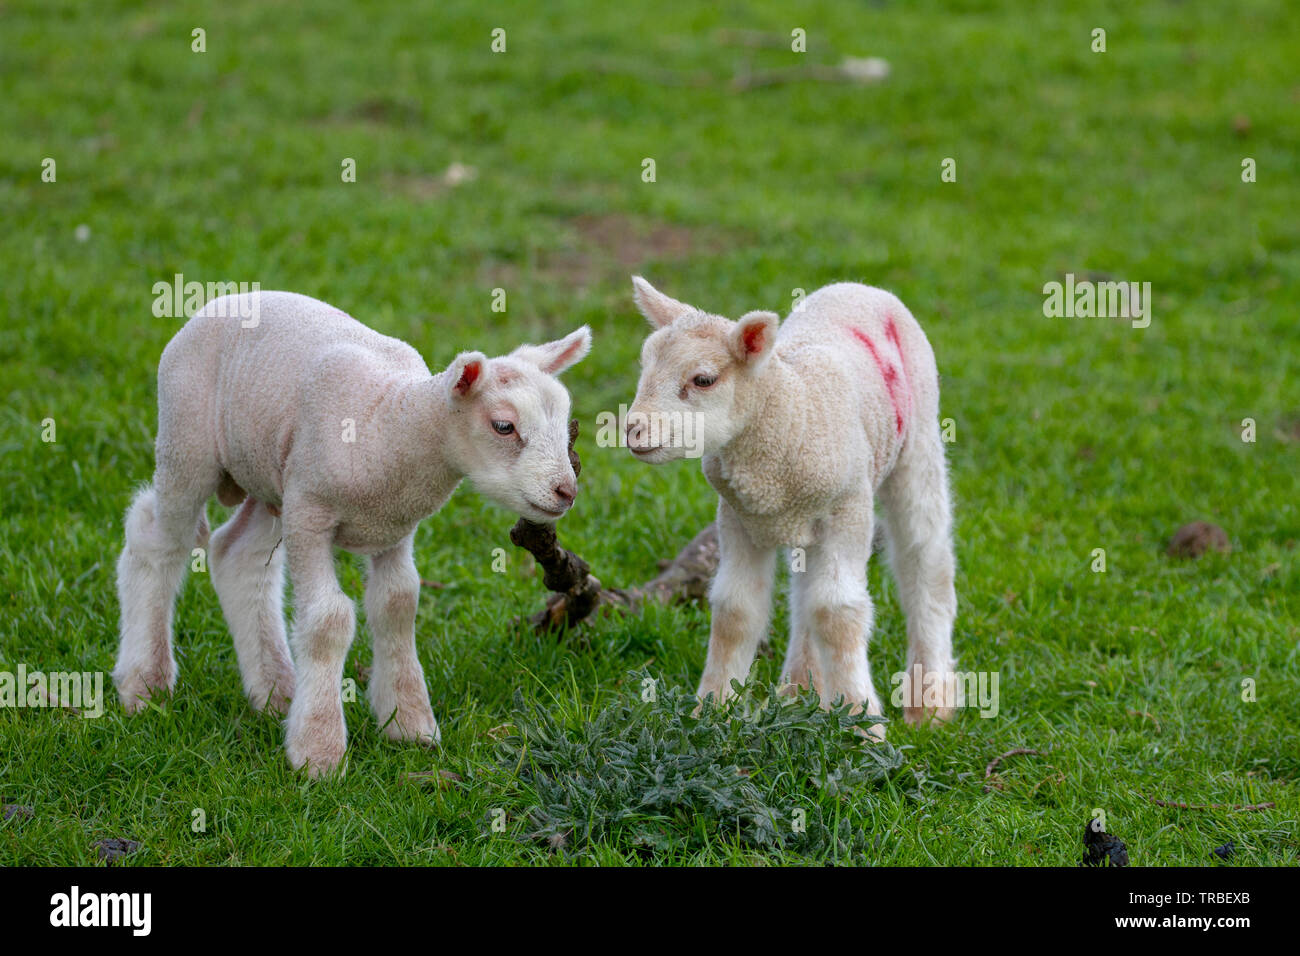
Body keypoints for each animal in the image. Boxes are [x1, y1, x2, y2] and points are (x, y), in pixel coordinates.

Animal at [114, 290, 591, 775]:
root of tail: (226, 298)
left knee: (236, 553)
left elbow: (397, 604)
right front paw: (319, 752)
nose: (566, 491)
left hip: (272, 479)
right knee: (157, 540)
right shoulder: (310, 515)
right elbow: (328, 620)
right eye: (503, 426)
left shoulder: (394, 529)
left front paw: (409, 723)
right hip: (188, 442)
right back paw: (145, 684)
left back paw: (275, 691)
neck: (392, 419)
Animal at [625, 277, 957, 732]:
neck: (790, 407)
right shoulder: (738, 518)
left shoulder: (848, 508)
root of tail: (857, 285)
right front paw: (709, 712)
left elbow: (837, 611)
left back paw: (929, 702)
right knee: (805, 594)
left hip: (918, 441)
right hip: (804, 523)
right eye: (644, 367)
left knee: (924, 556)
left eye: (703, 379)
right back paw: (800, 691)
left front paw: (865, 724)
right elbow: (735, 610)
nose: (633, 430)